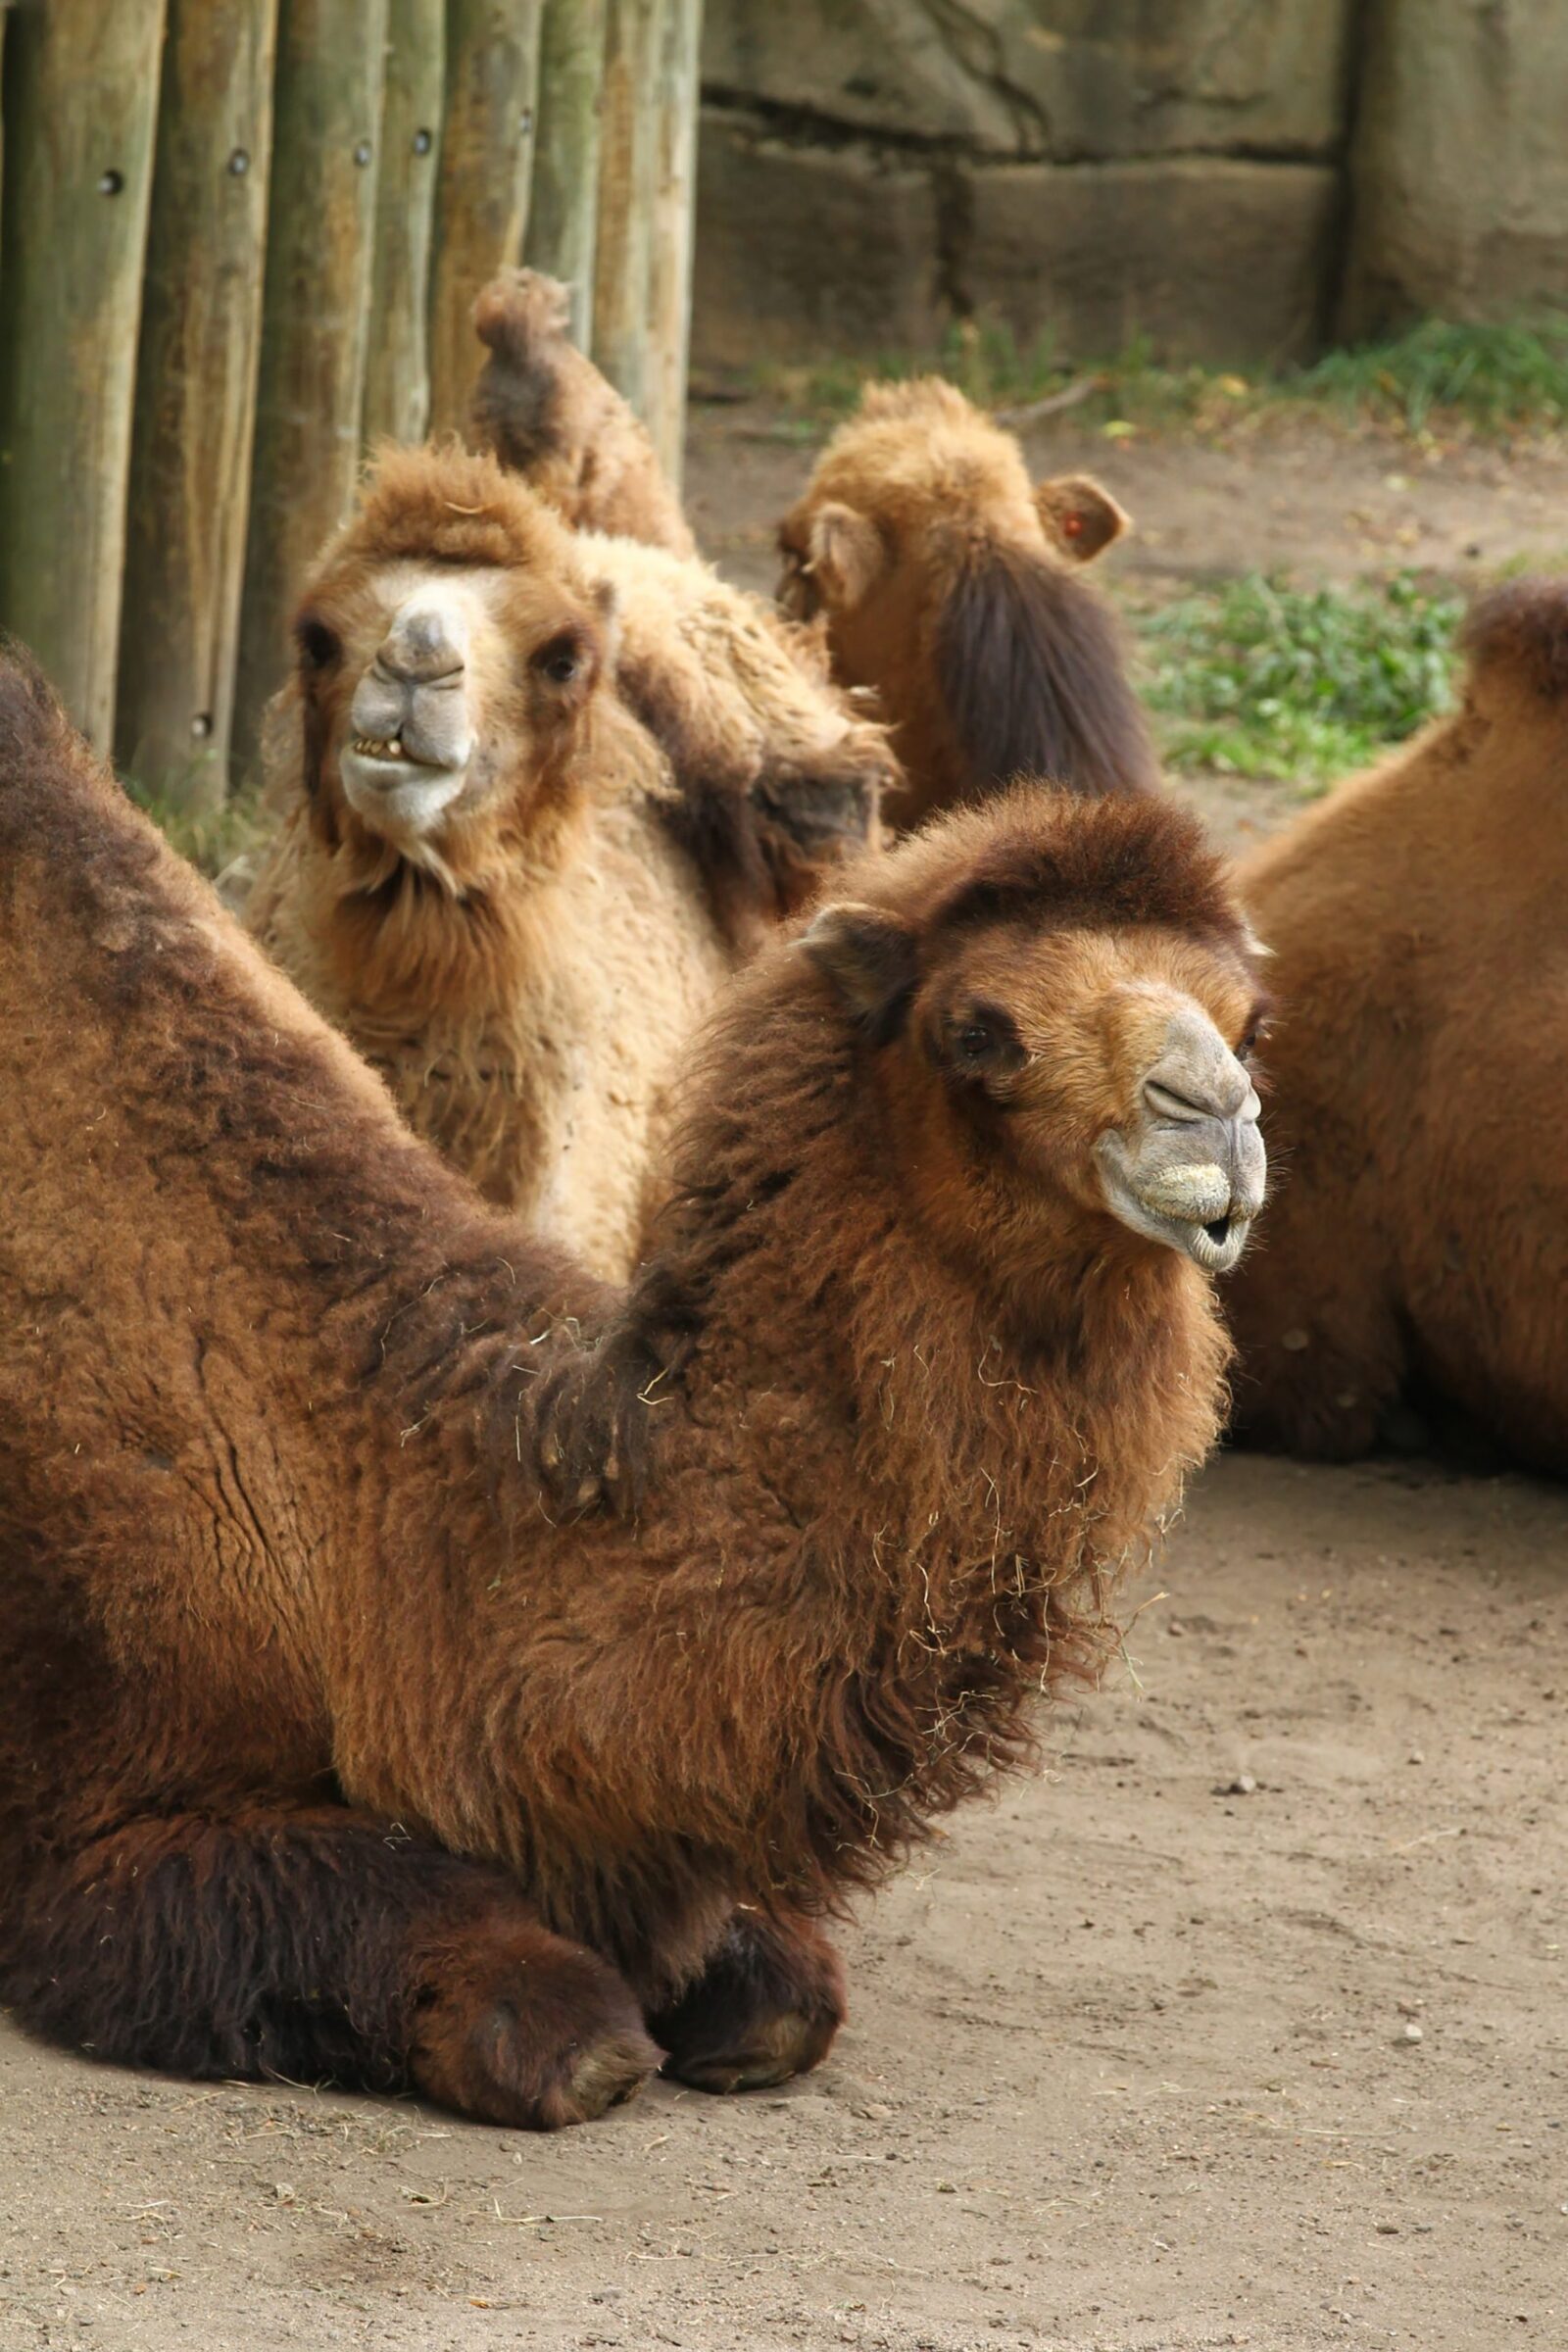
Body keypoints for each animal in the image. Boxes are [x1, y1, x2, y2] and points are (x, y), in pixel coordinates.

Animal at [0, 644, 1266, 2129]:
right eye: (981, 1031)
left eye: (1251, 1023)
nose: (1216, 1120)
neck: (381, 1515)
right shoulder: (103, 1816)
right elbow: (552, 2026)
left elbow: (784, 1994)